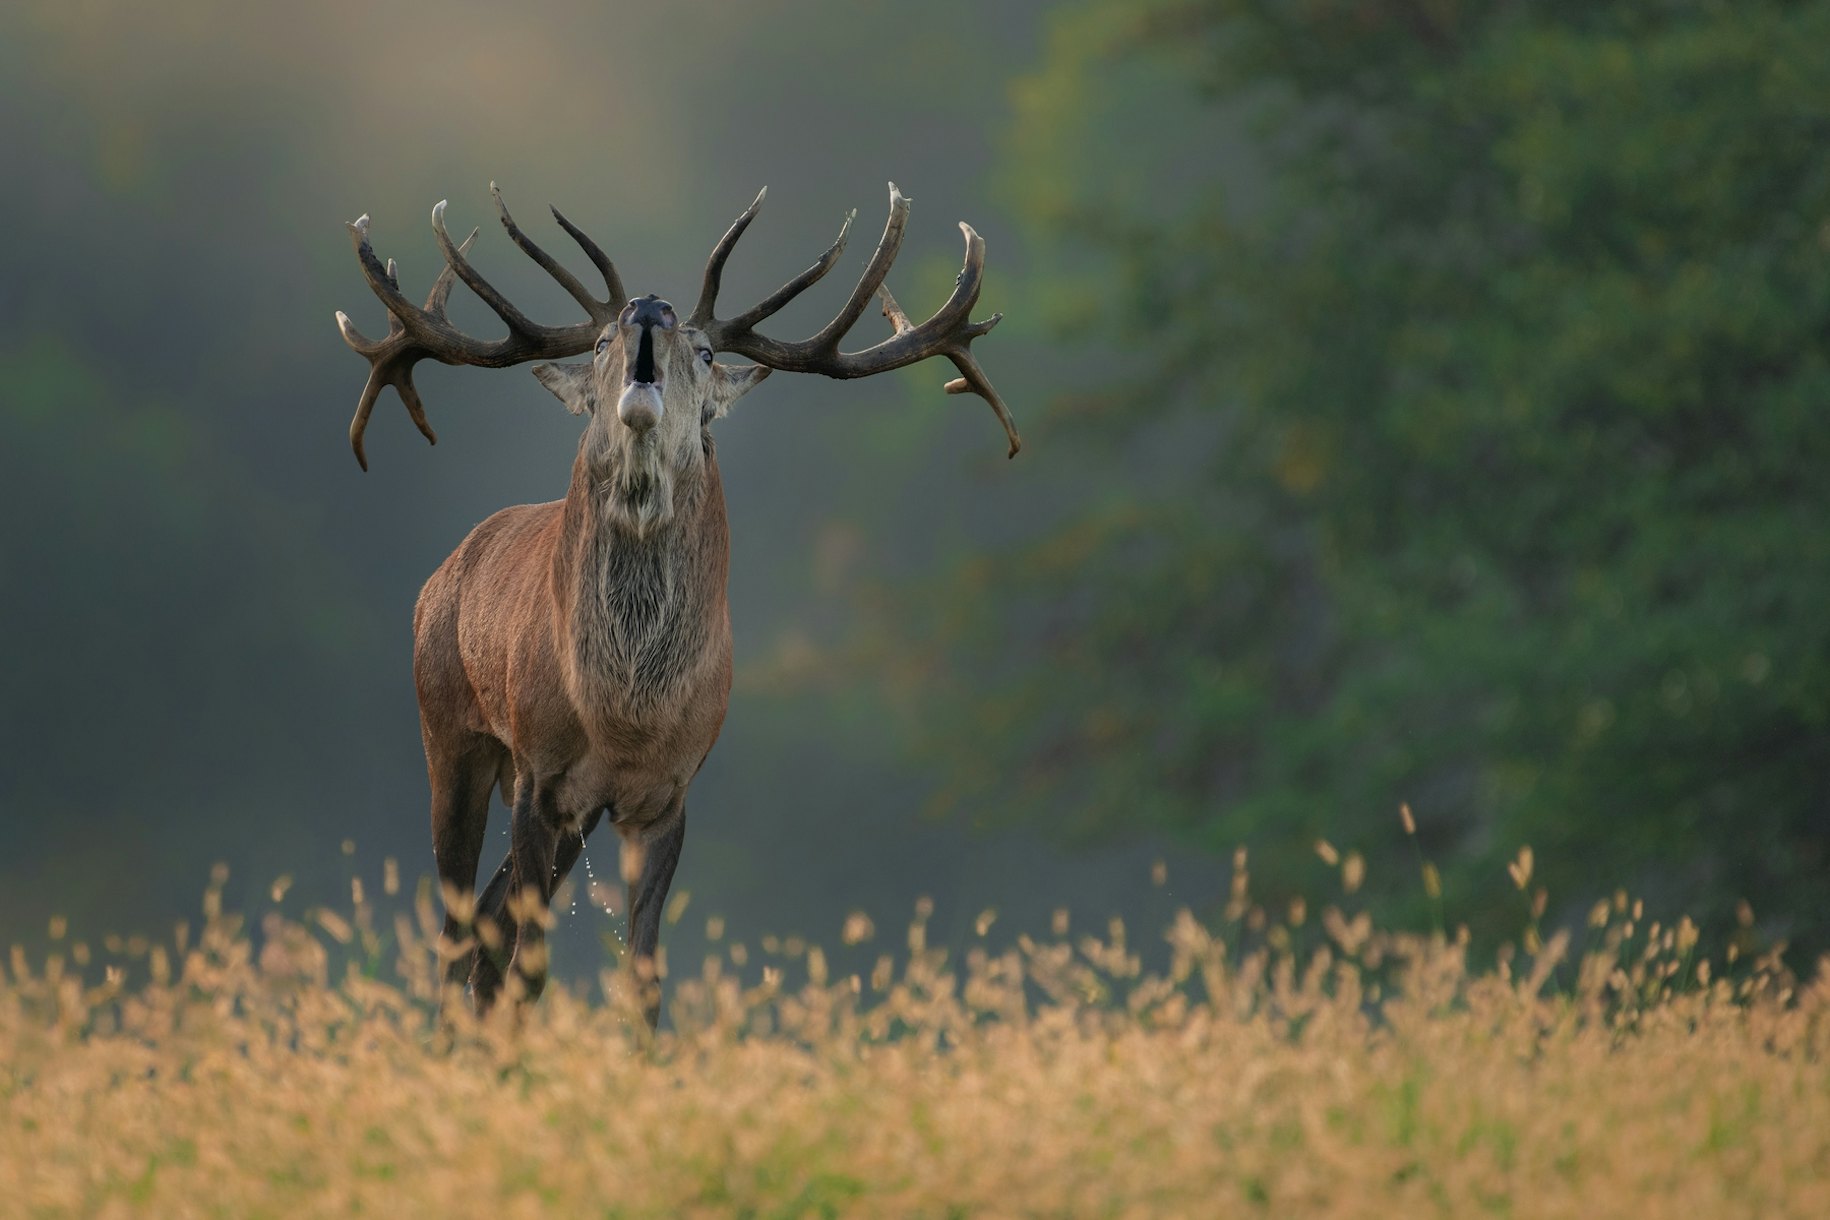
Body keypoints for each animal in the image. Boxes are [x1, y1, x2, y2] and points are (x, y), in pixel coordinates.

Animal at [334, 183, 1018, 1022]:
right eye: (599, 344)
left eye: (707, 353)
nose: (649, 309)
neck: (626, 712)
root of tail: (443, 574)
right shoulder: (538, 770)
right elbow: (534, 968)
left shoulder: (669, 792)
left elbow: (644, 977)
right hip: (449, 731)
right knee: (460, 933)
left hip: (571, 808)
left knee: (488, 929)